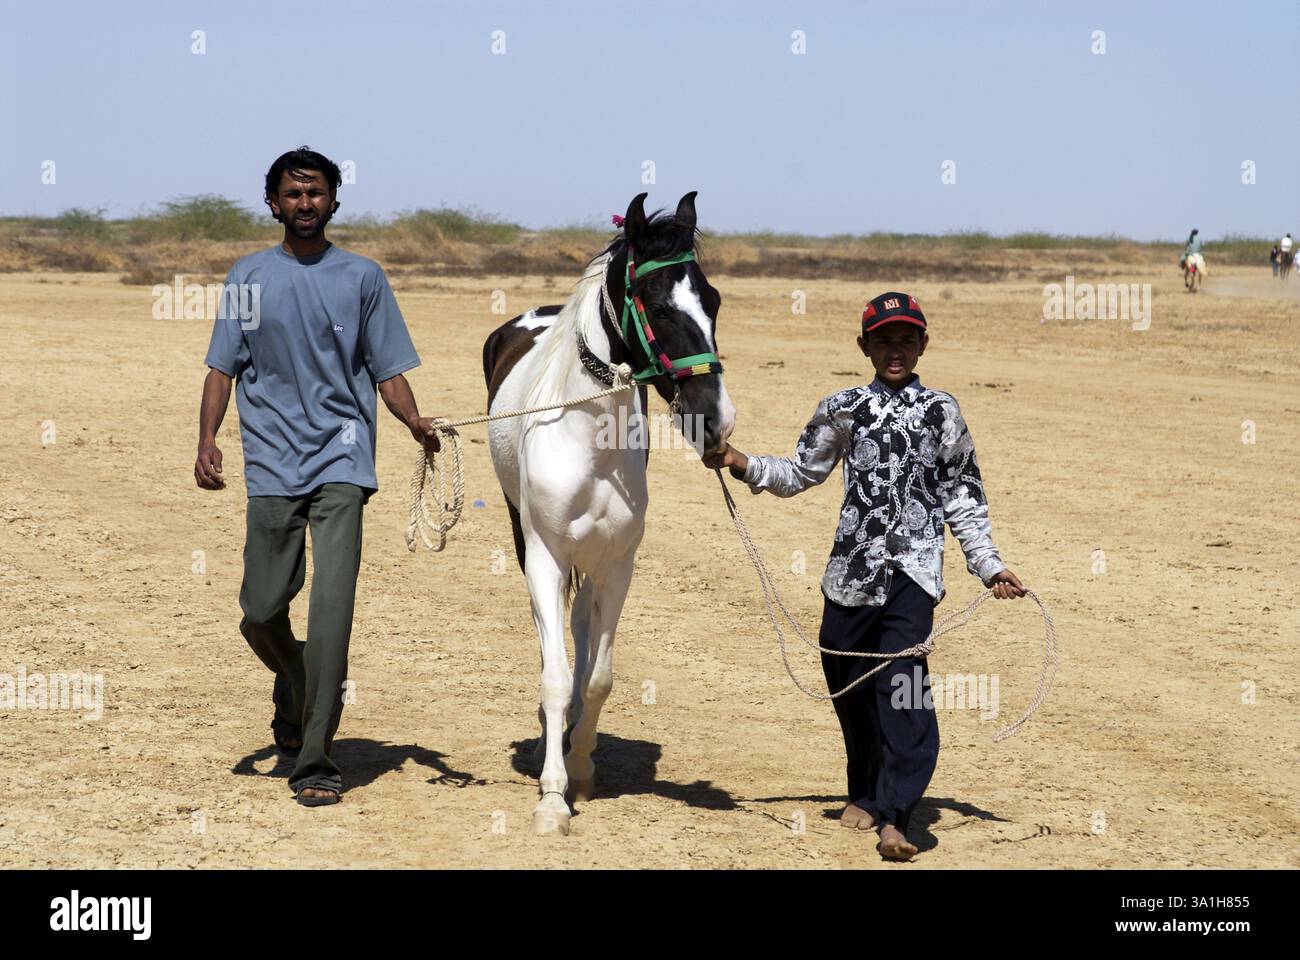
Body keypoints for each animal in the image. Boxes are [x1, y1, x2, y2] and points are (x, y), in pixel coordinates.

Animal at [482, 192, 735, 834]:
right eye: (657, 305)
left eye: (714, 300)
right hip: (527, 542)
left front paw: (581, 768)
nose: (715, 420)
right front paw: (552, 798)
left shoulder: (619, 564)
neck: (588, 442)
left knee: (579, 628)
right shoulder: (546, 557)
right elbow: (552, 674)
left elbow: (598, 676)